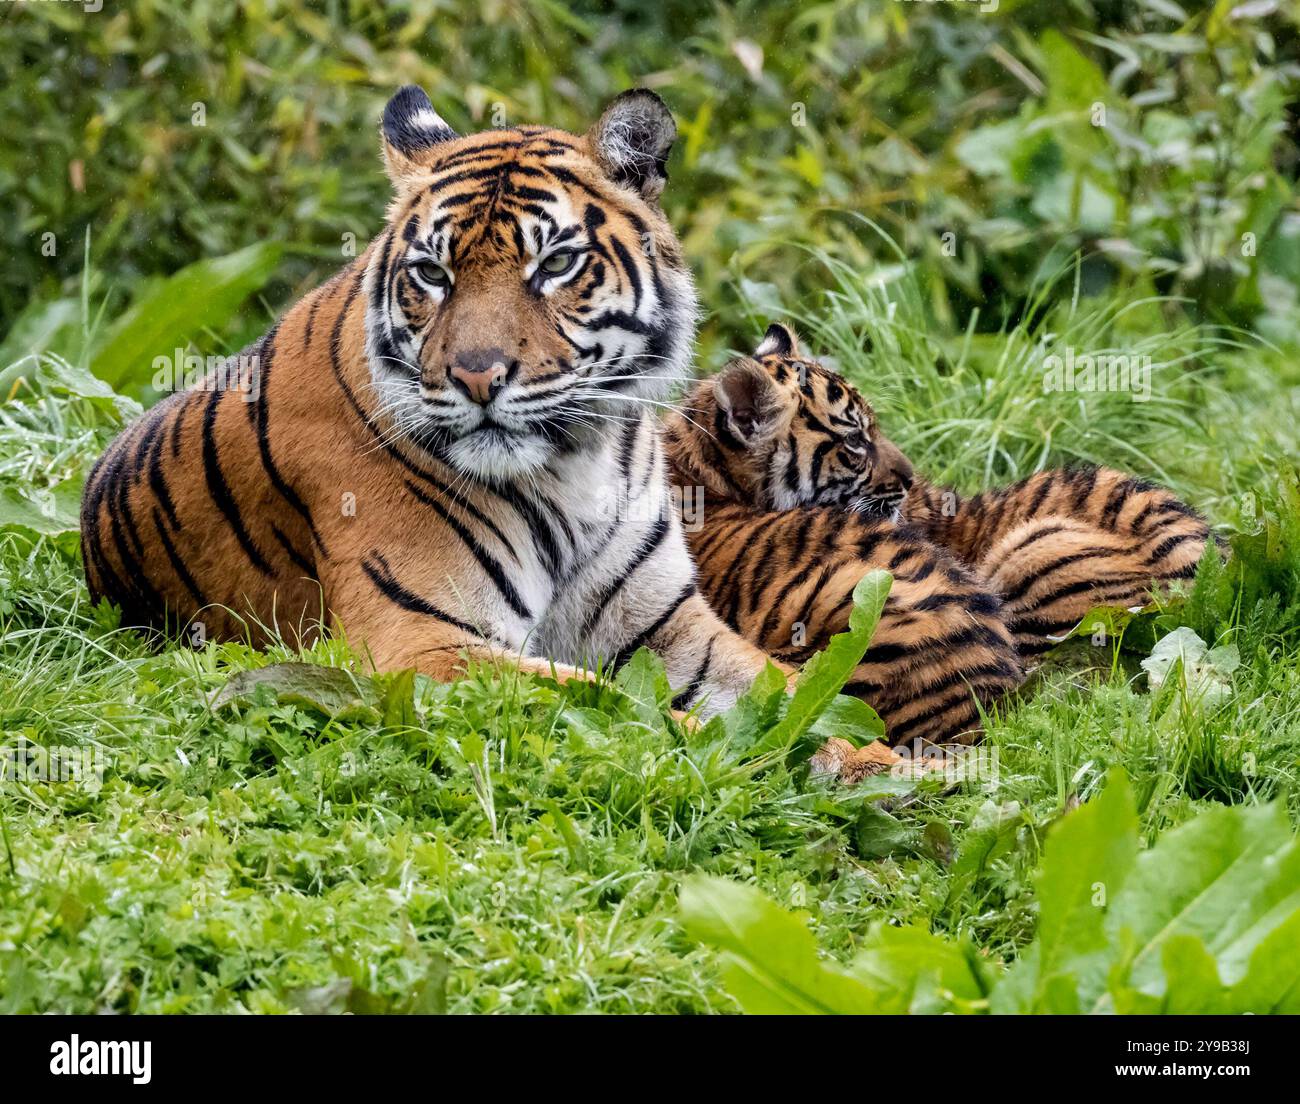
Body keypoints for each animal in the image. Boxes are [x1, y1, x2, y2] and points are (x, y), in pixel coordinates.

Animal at [80, 86, 779, 719]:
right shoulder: (419, 642)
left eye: (555, 264)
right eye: (434, 274)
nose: (476, 377)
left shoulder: (670, 626)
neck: (577, 462)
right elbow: (633, 710)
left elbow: (779, 687)